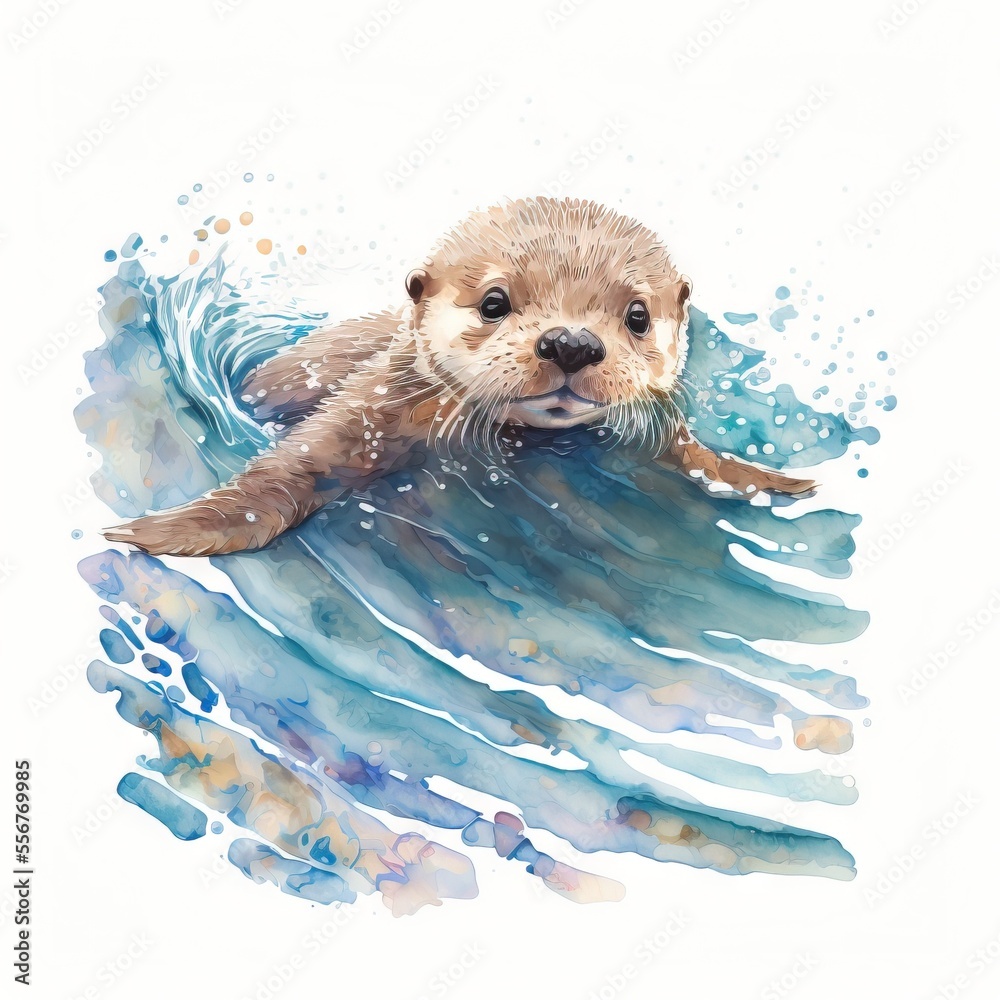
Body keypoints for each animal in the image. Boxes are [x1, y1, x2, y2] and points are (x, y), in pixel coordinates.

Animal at [103, 197, 813, 557]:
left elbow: (699, 460)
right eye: (494, 302)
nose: (571, 342)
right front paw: (165, 530)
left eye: (637, 315)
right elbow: (287, 475)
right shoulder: (378, 407)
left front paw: (776, 482)